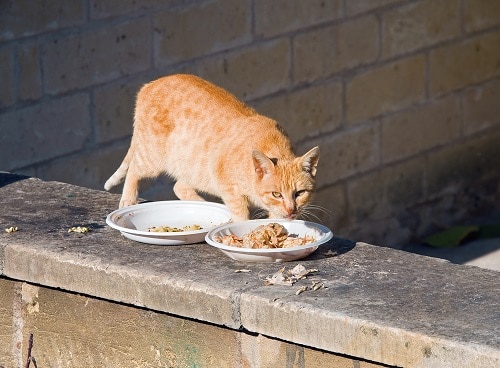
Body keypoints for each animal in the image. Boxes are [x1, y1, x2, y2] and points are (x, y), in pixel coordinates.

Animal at [104, 73, 320, 220]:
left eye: (299, 193)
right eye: (277, 194)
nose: (291, 210)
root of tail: (149, 85)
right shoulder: (228, 186)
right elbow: (241, 215)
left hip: (193, 169)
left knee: (179, 186)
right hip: (152, 157)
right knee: (134, 170)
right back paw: (128, 199)